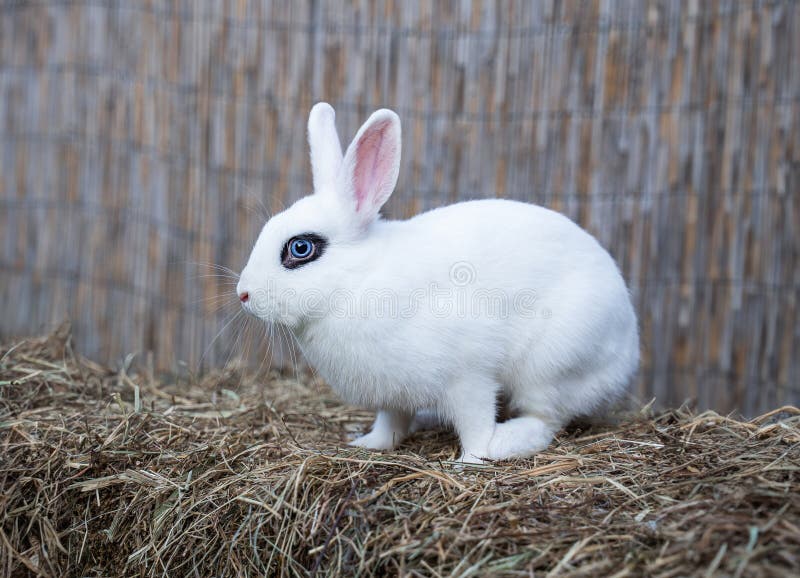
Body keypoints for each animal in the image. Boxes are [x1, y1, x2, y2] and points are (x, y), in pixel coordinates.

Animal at [237, 102, 639, 463]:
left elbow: (475, 424)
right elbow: (390, 424)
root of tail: (627, 354)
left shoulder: (469, 379)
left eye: (301, 248)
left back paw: (504, 442)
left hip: (551, 363)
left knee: (546, 418)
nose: (243, 294)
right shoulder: (392, 396)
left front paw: (471, 460)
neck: (359, 280)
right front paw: (369, 445)